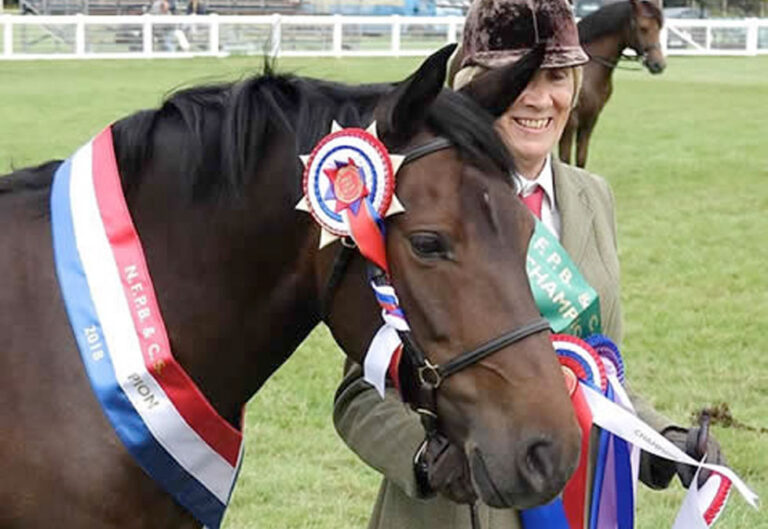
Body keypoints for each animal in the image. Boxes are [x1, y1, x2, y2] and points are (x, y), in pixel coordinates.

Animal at [559, 0, 665, 167]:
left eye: (659, 27)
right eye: (643, 28)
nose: (658, 65)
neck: (587, 71)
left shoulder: (590, 120)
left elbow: (581, 160)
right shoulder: (569, 124)